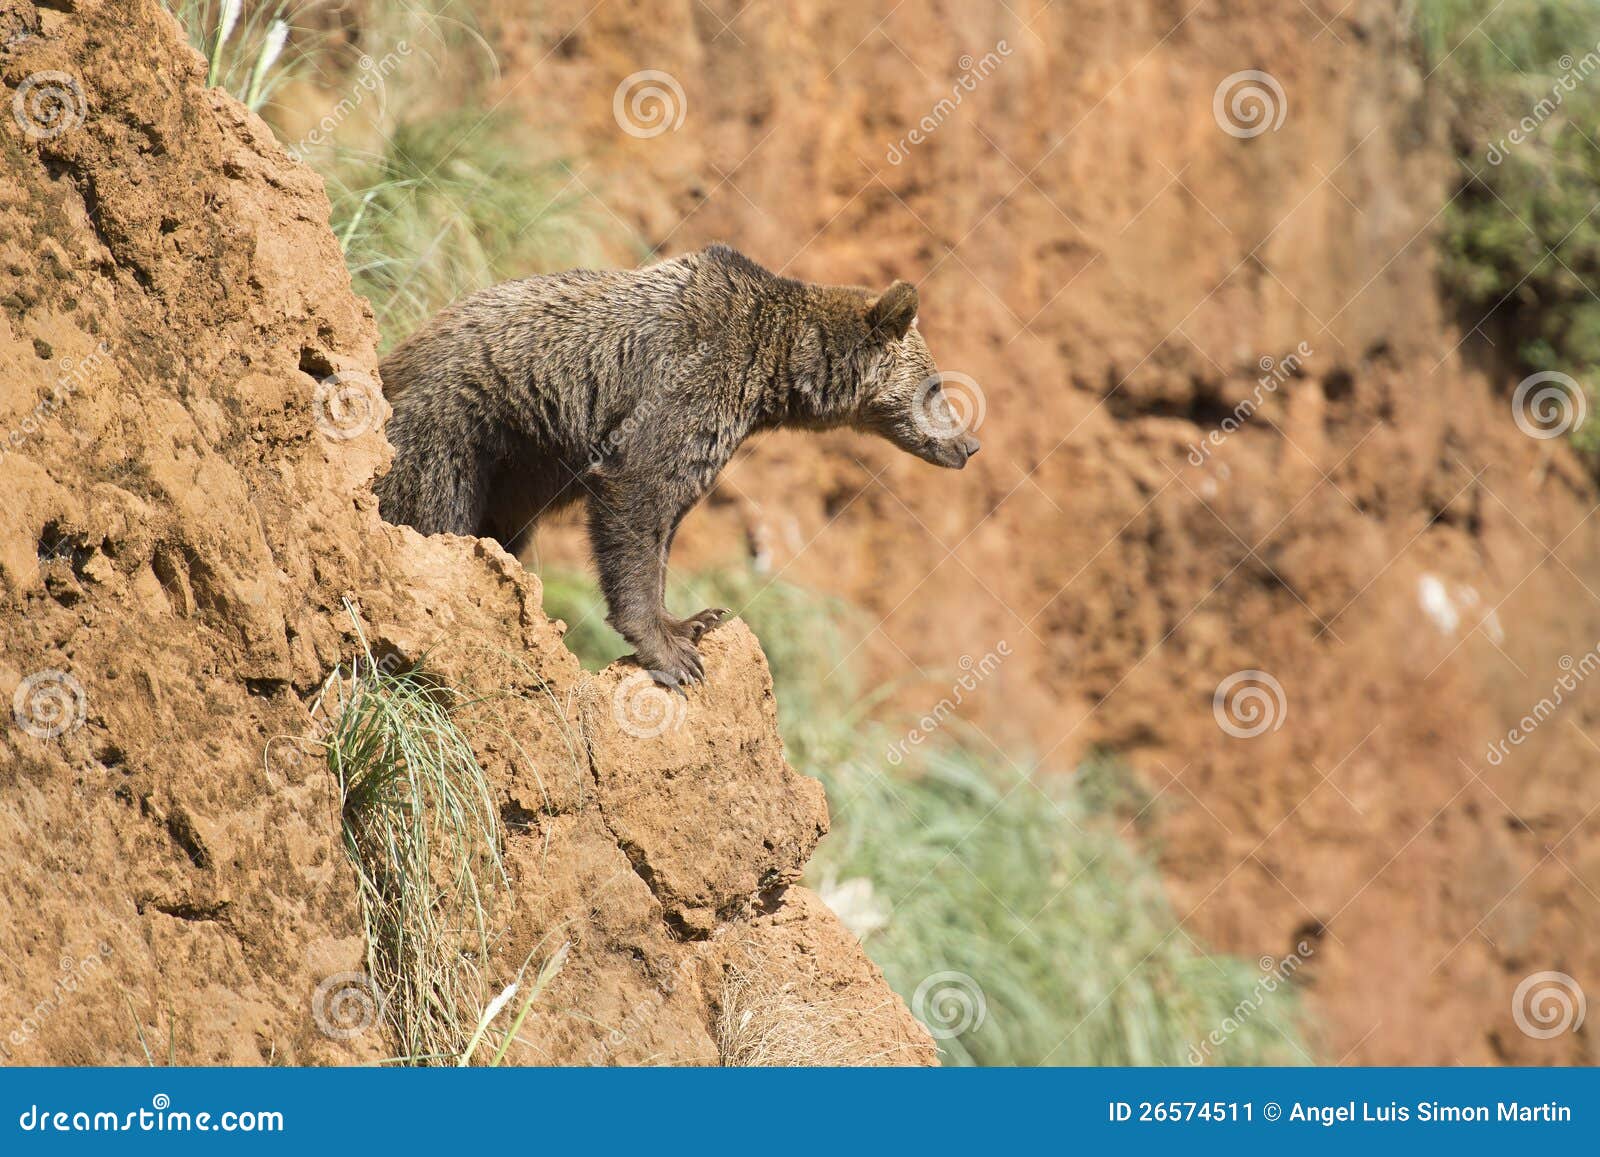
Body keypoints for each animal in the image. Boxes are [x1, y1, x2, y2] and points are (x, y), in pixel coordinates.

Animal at [374, 244, 980, 685]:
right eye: (935, 385)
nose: (969, 445)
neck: (772, 374)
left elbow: (665, 524)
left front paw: (693, 620)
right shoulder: (686, 383)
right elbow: (639, 491)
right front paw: (672, 656)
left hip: (514, 470)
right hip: (453, 431)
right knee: (429, 511)